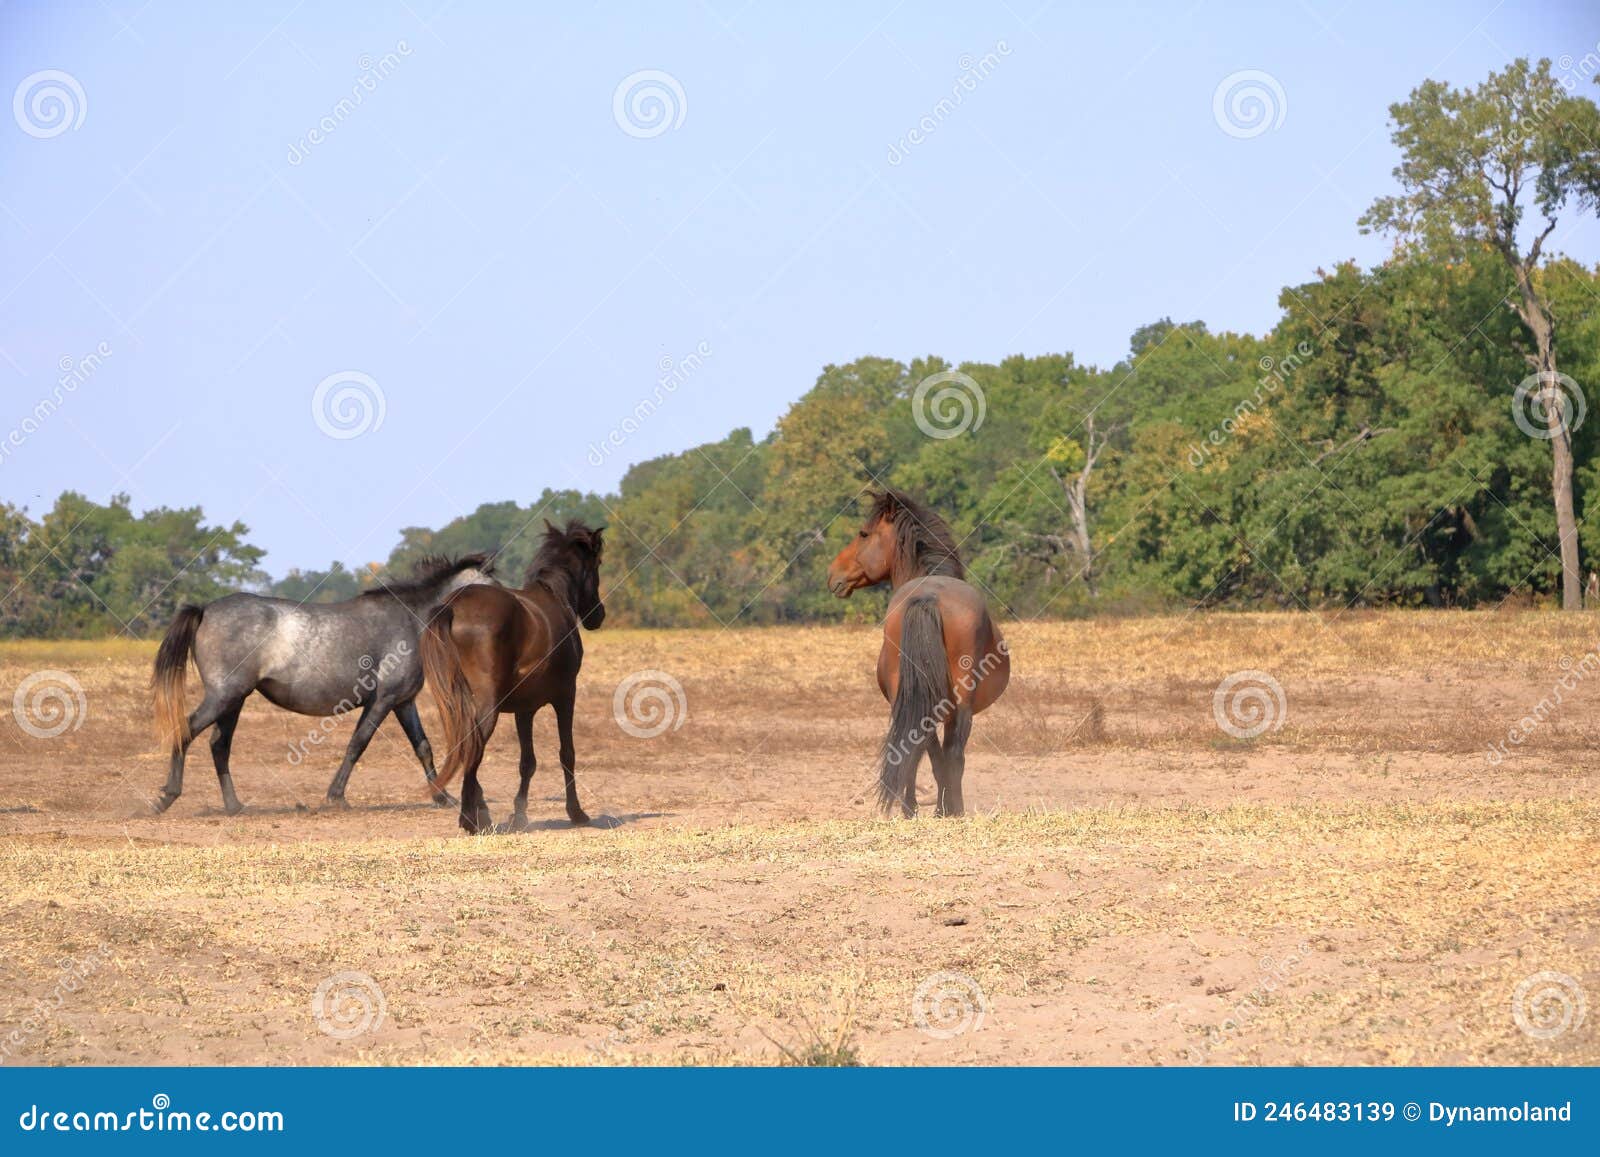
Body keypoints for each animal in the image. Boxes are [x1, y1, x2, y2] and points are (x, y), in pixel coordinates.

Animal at [149, 554, 496, 815]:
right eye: (495, 587)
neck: (411, 621)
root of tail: (204, 610)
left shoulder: (402, 701)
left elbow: (422, 747)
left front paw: (443, 797)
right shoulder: (382, 700)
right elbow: (357, 744)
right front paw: (336, 796)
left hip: (233, 701)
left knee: (219, 746)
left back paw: (235, 806)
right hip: (223, 696)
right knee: (187, 731)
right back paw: (167, 797)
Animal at [421, 519, 606, 834]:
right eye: (598, 564)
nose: (598, 615)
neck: (555, 597)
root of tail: (453, 607)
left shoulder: (524, 709)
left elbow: (527, 762)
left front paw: (518, 815)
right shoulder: (566, 697)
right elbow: (566, 753)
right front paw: (576, 812)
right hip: (486, 706)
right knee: (473, 746)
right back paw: (471, 818)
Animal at [825, 490, 1009, 817]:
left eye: (863, 533)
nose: (833, 573)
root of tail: (929, 596)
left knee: (927, 750)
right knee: (949, 754)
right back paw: (950, 810)